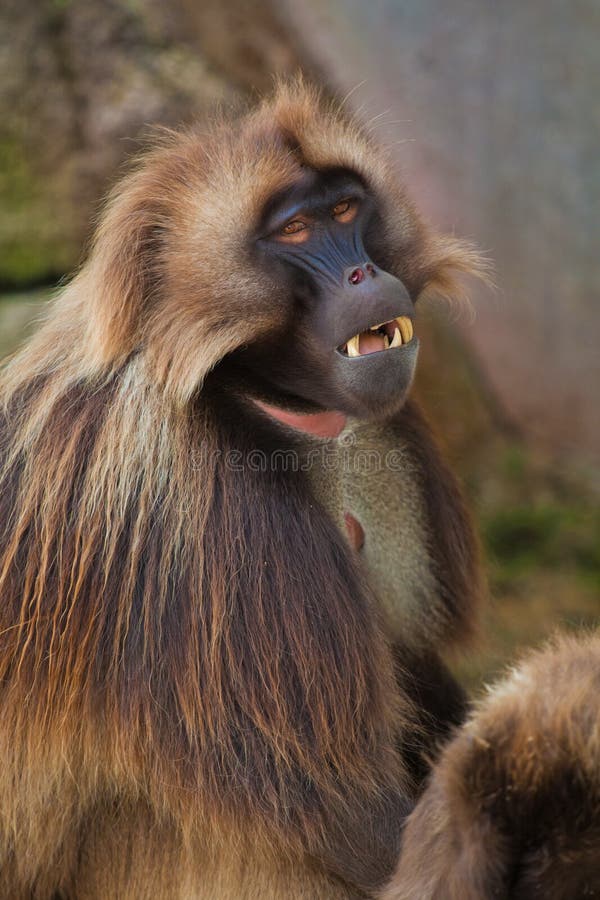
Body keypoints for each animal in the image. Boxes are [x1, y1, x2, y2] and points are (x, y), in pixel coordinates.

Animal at [1, 78, 597, 899]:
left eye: (345, 211)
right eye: (294, 231)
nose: (363, 276)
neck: (245, 392)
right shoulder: (198, 527)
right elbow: (360, 824)